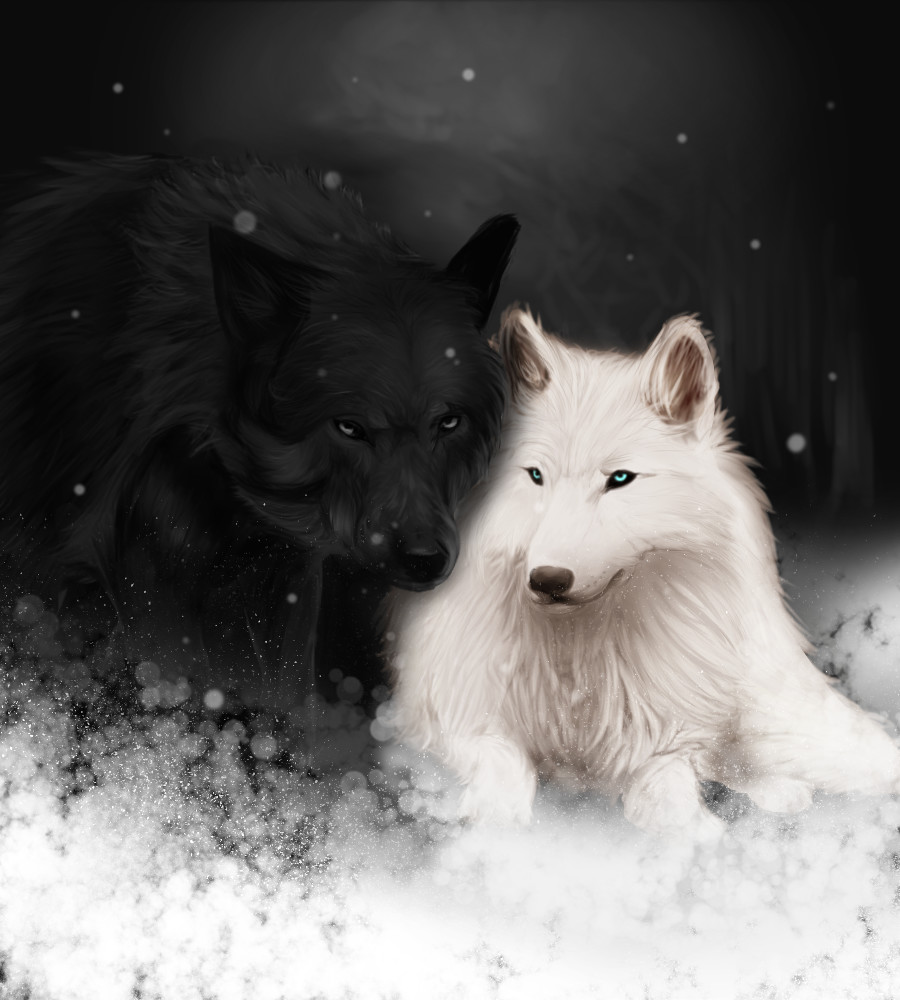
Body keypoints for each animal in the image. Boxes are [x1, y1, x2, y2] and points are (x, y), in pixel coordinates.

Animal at [385, 306, 900, 835]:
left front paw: (692, 833)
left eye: (620, 479)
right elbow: (503, 763)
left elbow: (670, 788)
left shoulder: (664, 734)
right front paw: (495, 821)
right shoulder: (450, 712)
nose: (547, 580)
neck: (581, 654)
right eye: (535, 476)